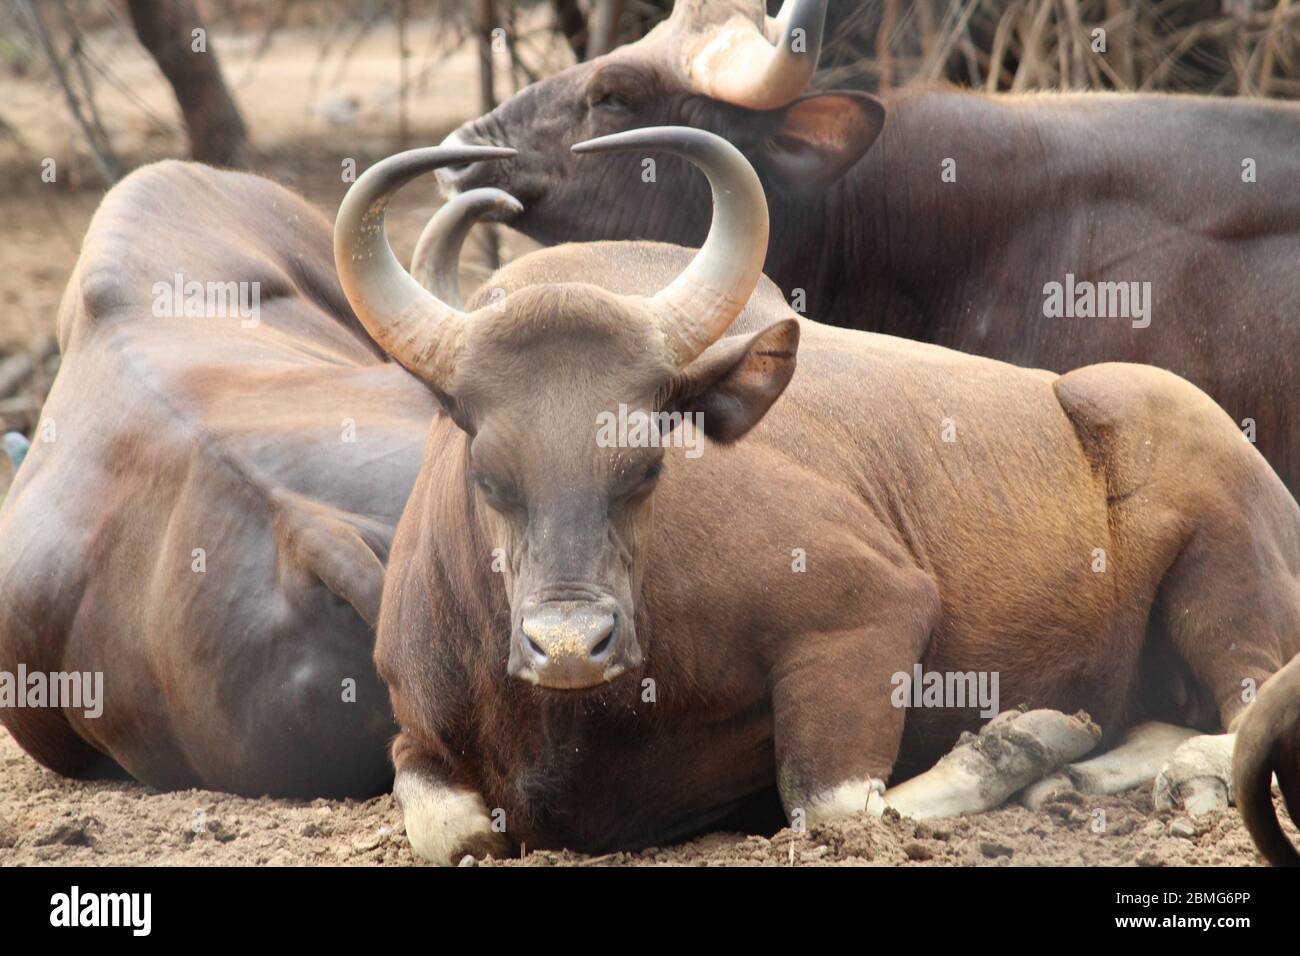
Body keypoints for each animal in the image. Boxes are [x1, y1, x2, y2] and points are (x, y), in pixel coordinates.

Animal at [333, 127, 1300, 865]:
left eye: (645, 464)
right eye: (488, 471)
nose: (571, 644)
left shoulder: (869, 610)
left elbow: (834, 803)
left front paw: (1015, 744)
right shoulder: (417, 730)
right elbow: (447, 826)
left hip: (1225, 554)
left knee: (1248, 697)